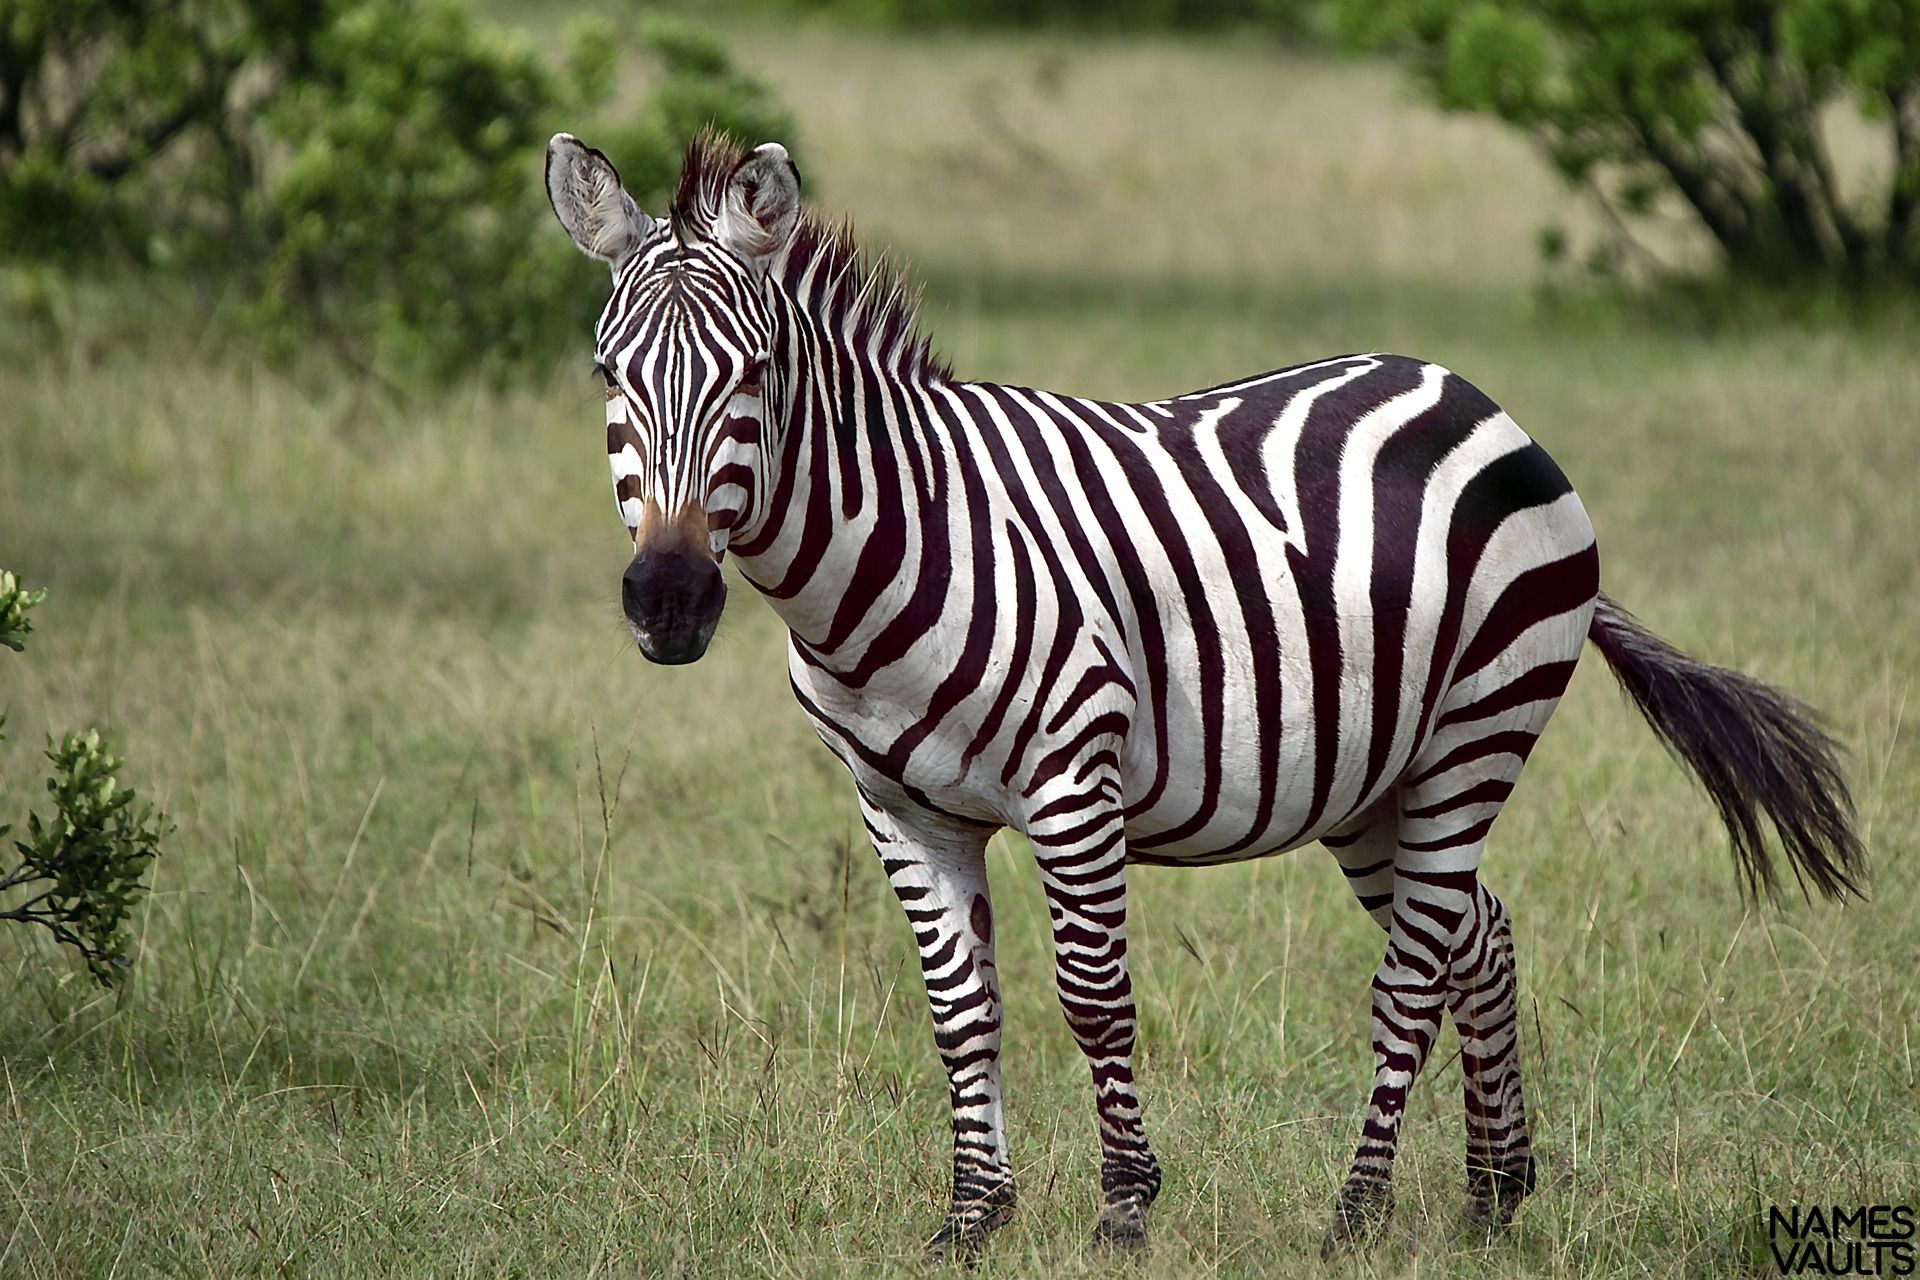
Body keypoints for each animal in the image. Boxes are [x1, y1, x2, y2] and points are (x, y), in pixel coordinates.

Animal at [545, 131, 1865, 1256]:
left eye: (756, 373)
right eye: (609, 372)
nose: (671, 599)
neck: (893, 545)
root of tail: (1473, 394)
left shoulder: (1074, 777)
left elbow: (1094, 1000)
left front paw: (1124, 1210)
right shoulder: (899, 805)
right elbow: (961, 1010)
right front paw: (971, 1219)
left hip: (1475, 732)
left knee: (1413, 975)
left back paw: (1357, 1214)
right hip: (1373, 777)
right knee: (1476, 936)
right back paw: (1495, 1197)